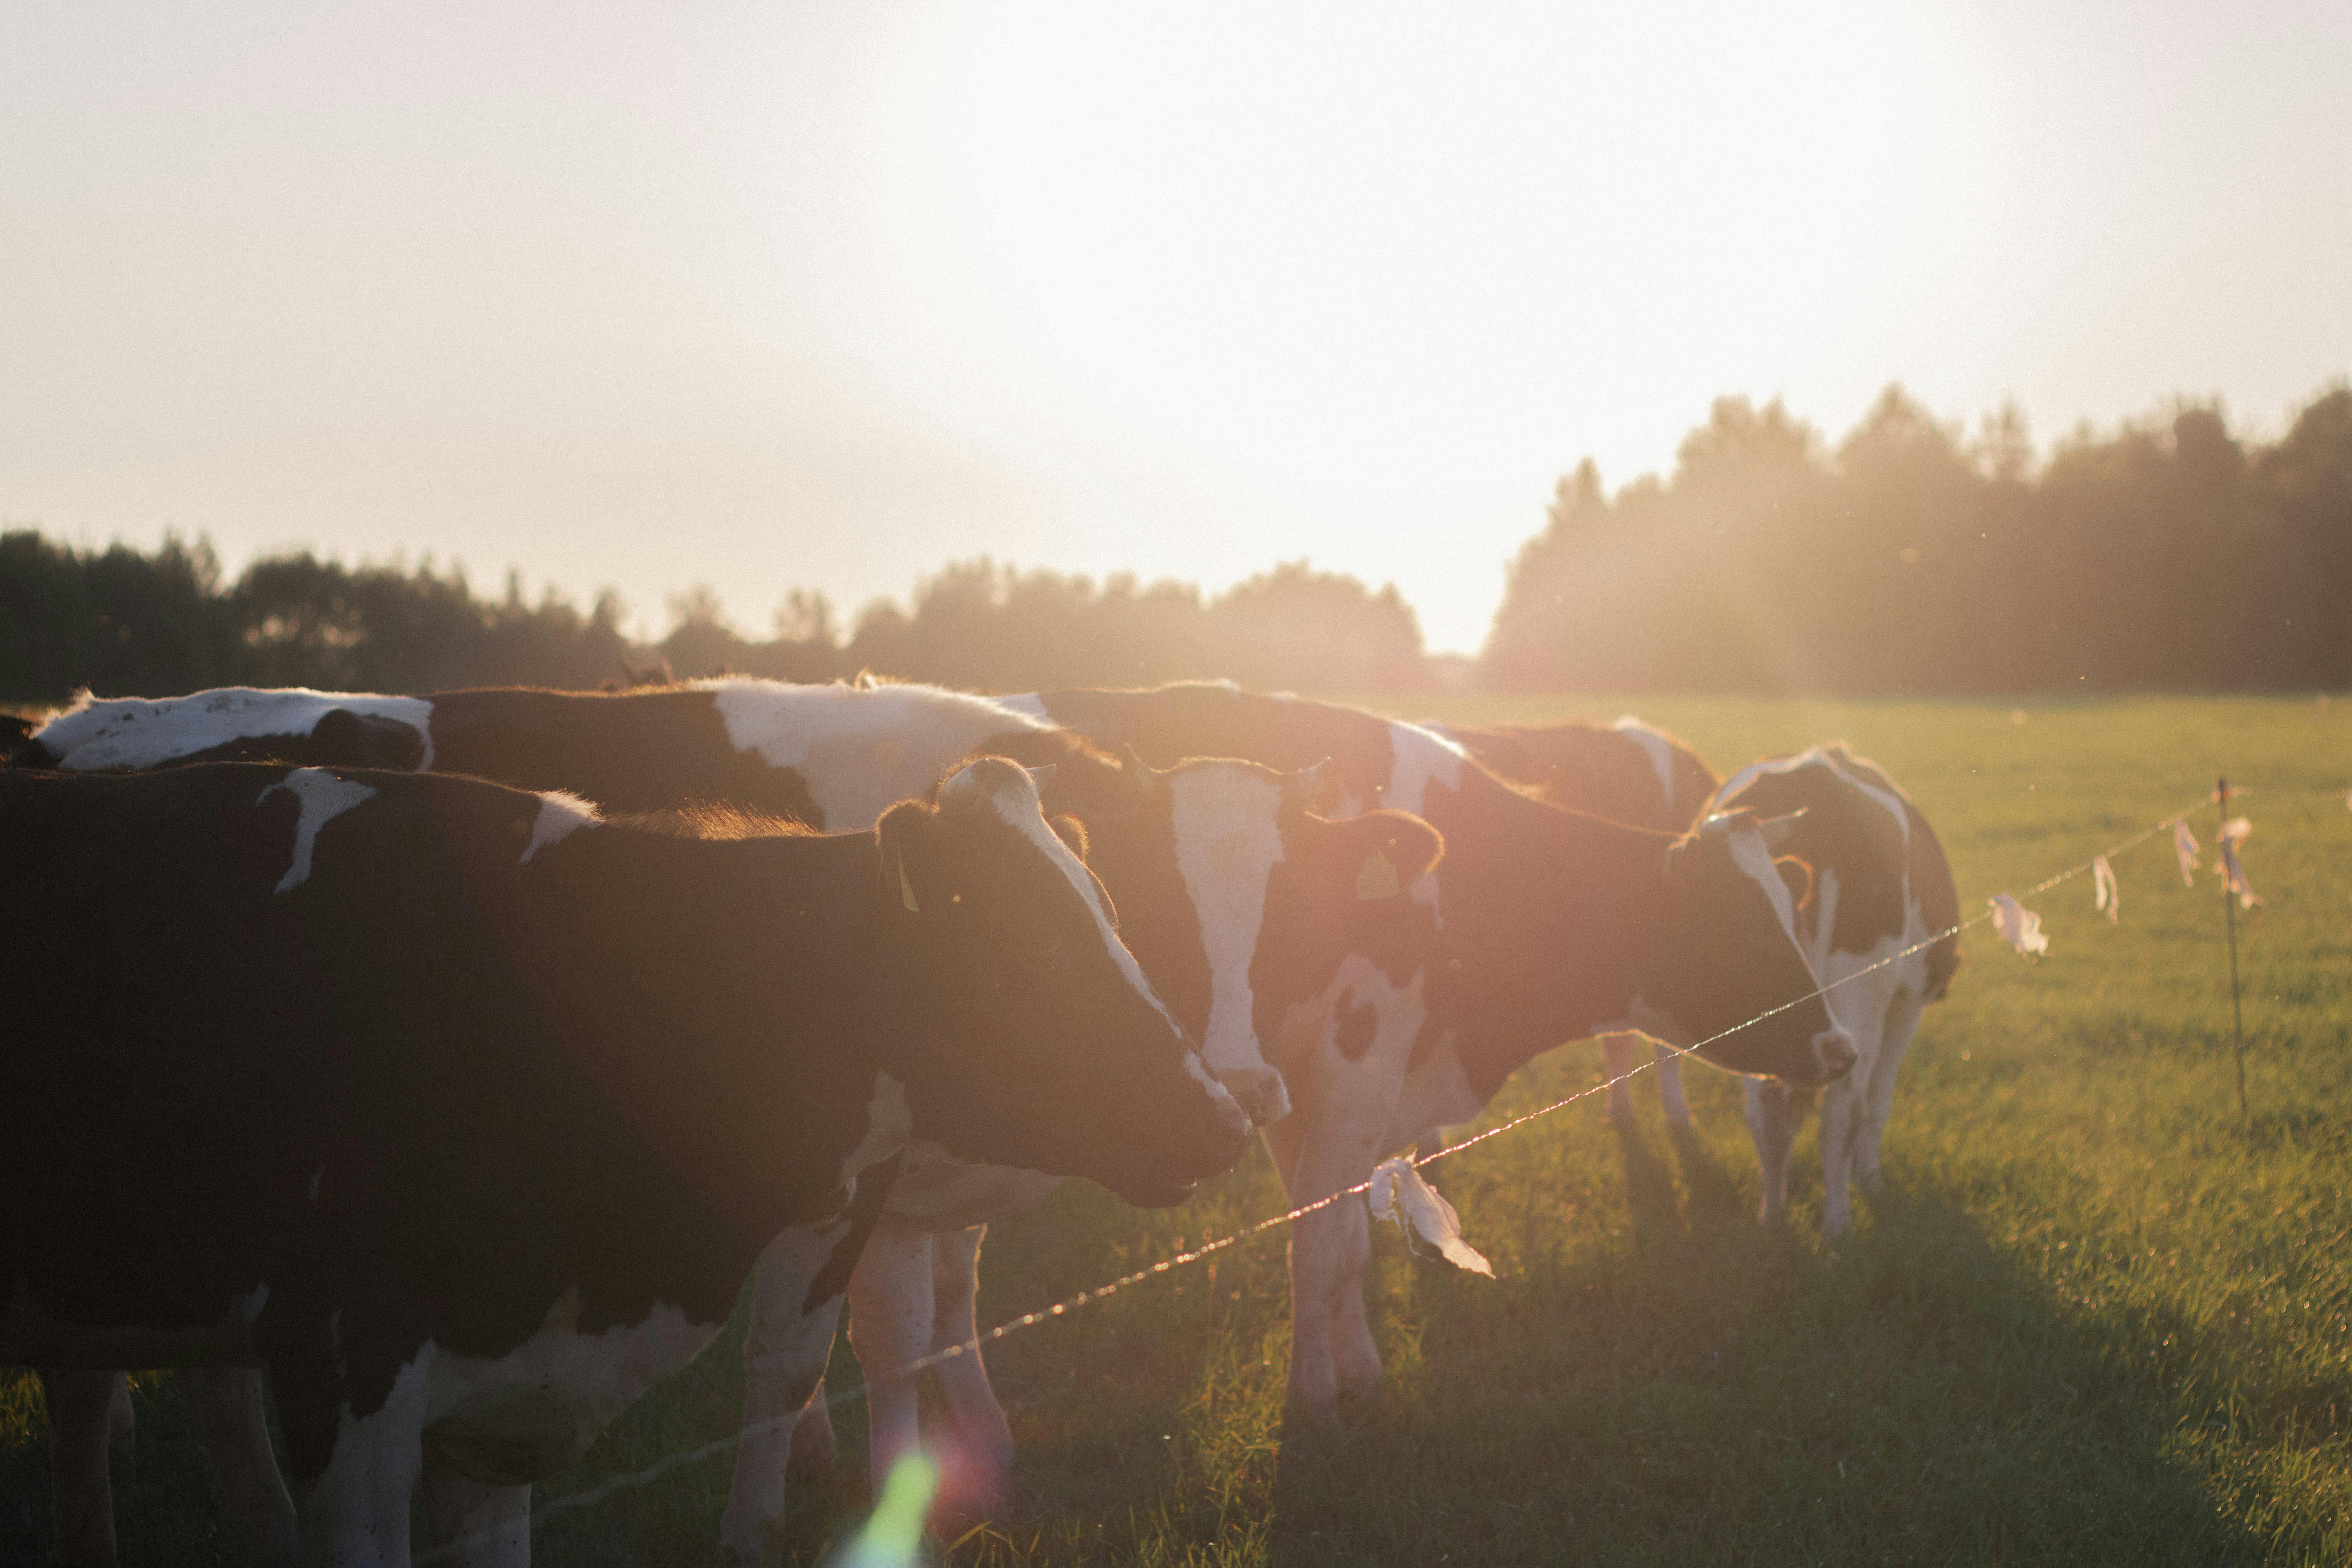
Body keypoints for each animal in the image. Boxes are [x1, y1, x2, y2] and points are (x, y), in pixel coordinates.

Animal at [21, 680, 1439, 1562]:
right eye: (1150, 890)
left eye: (1291, 905)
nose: (1240, 1091)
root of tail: (71, 723)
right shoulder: (855, 1184)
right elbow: (861, 1342)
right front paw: (864, 1493)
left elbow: (921, 1319)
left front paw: (961, 1452)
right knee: (109, 1391)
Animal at [1706, 745, 1961, 1238]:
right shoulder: (1907, 1006)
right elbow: (1878, 1102)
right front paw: (1872, 1181)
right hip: (1860, 998)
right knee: (1843, 1115)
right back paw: (1839, 1226)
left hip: (1756, 1014)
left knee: (1766, 1117)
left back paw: (1773, 1219)